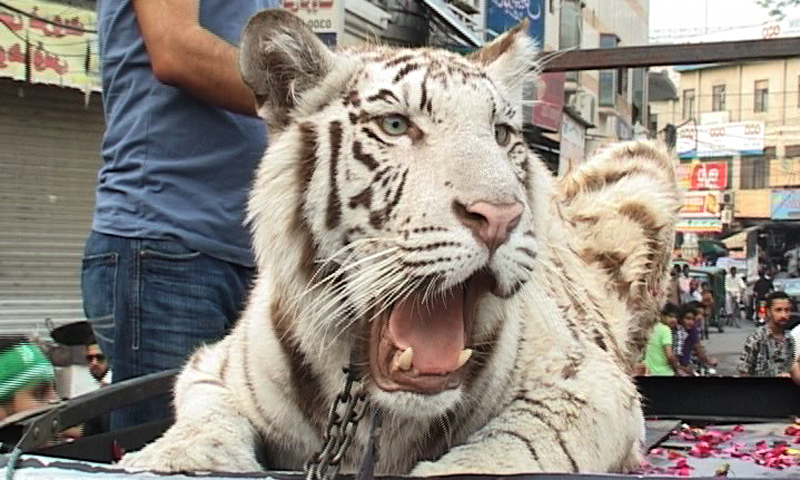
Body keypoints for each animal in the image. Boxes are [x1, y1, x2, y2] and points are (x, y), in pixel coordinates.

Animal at [120, 9, 681, 476]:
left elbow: (513, 445)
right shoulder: (210, 368)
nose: (501, 217)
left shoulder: (589, 384)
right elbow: (205, 416)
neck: (371, 408)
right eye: (396, 125)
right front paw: (169, 457)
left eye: (501, 135)